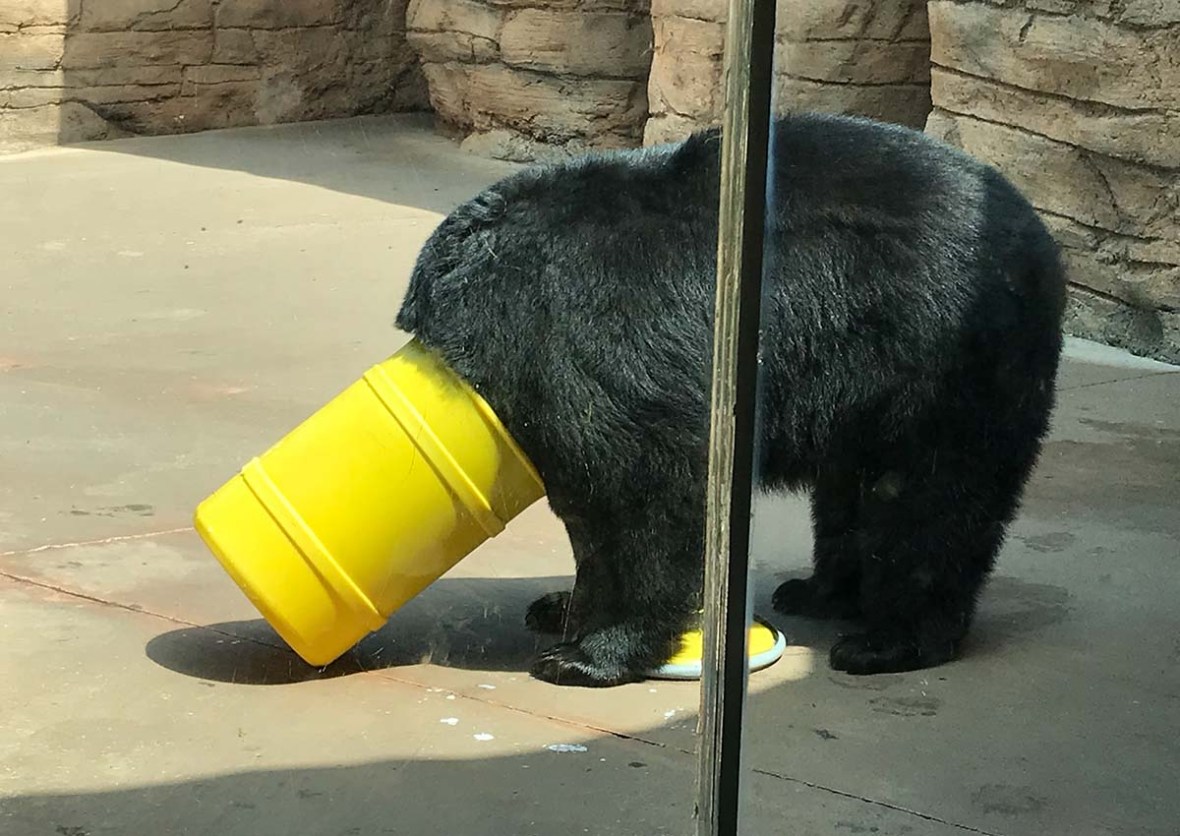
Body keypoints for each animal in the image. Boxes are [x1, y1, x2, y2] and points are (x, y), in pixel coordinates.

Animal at [395, 112, 1066, 687]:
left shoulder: (591, 344)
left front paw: (586, 653)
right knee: (852, 491)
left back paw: (888, 641)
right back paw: (819, 592)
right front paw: (560, 606)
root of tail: (1041, 241)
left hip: (945, 356)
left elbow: (646, 488)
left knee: (933, 497)